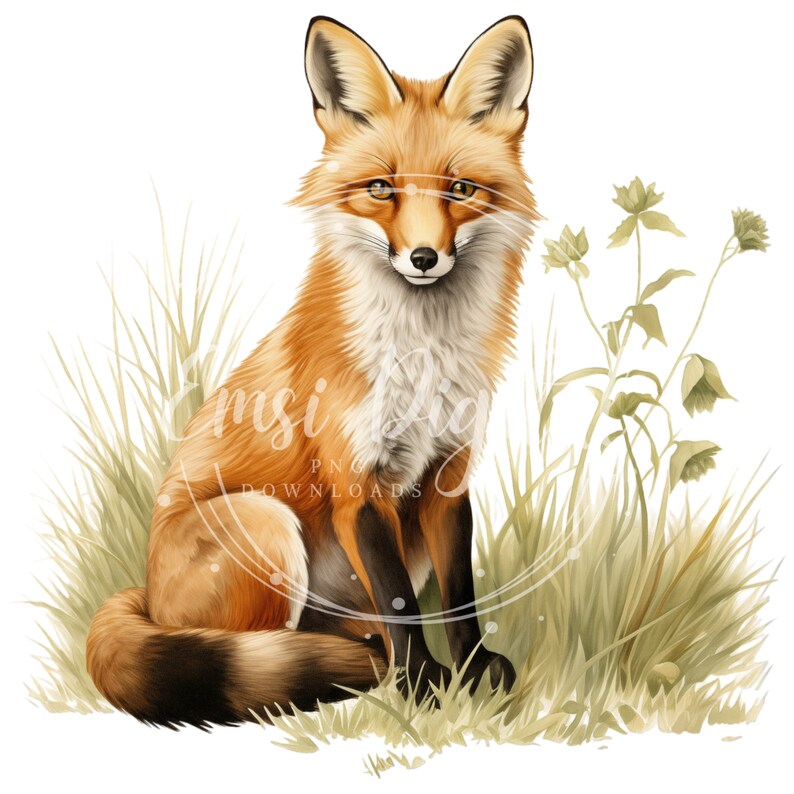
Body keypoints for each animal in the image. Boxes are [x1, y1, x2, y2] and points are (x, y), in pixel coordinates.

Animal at [86, 15, 538, 727]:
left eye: (460, 189)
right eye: (381, 188)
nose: (423, 257)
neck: (421, 357)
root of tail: (145, 595)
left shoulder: (447, 475)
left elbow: (459, 598)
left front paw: (469, 674)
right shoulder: (359, 483)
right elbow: (403, 606)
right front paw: (420, 684)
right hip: (268, 525)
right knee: (261, 649)